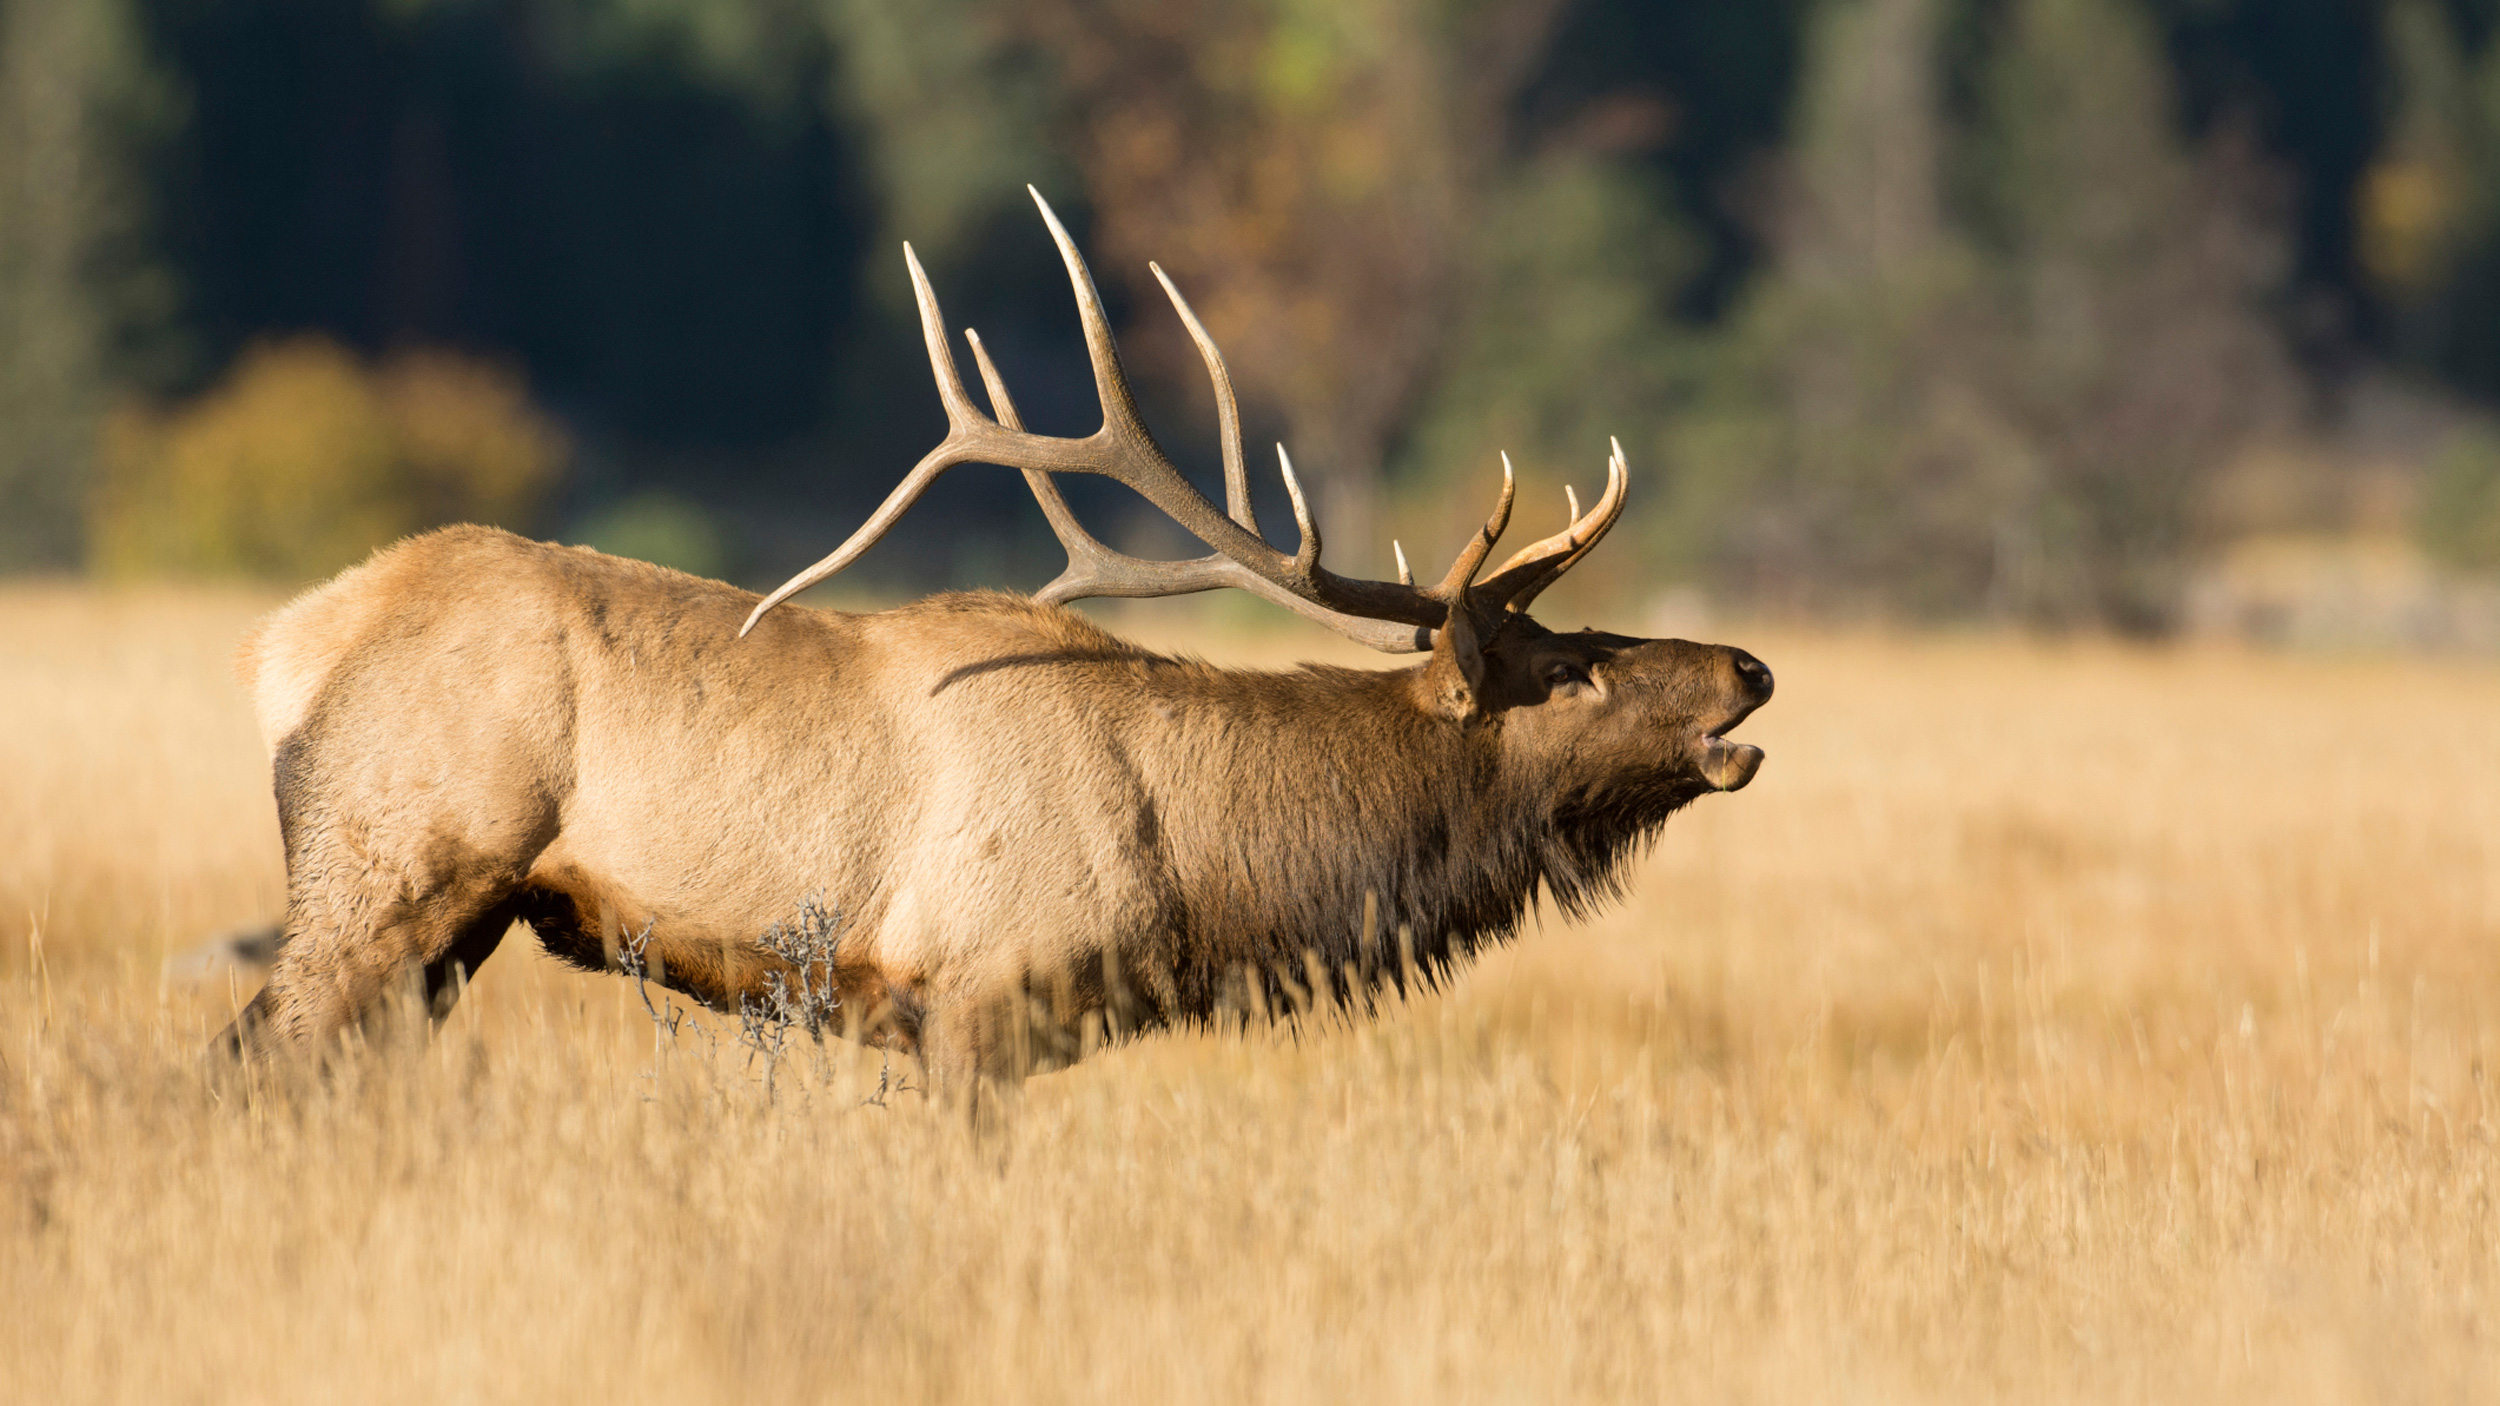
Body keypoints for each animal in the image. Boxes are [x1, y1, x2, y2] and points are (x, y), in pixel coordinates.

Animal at [215, 188, 1773, 1103]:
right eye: (1565, 666)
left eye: (1582, 629)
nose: (1748, 667)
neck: (1200, 861)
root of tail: (289, 641)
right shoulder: (975, 998)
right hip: (386, 870)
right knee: (255, 1054)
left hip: (446, 924)